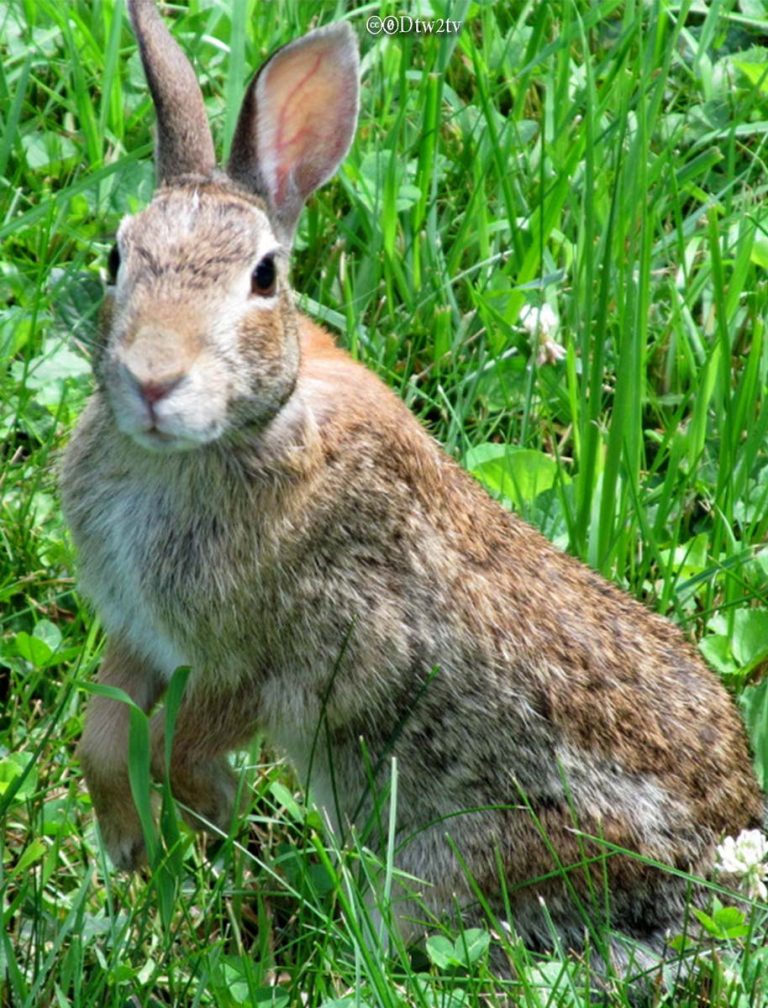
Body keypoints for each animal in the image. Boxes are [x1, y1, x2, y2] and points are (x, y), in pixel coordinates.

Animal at [61, 0, 763, 981]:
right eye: (116, 256)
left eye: (264, 277)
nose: (154, 378)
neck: (228, 437)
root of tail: (715, 887)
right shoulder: (143, 635)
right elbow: (104, 732)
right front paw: (131, 844)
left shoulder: (284, 656)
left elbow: (179, 740)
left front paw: (210, 812)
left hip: (463, 858)